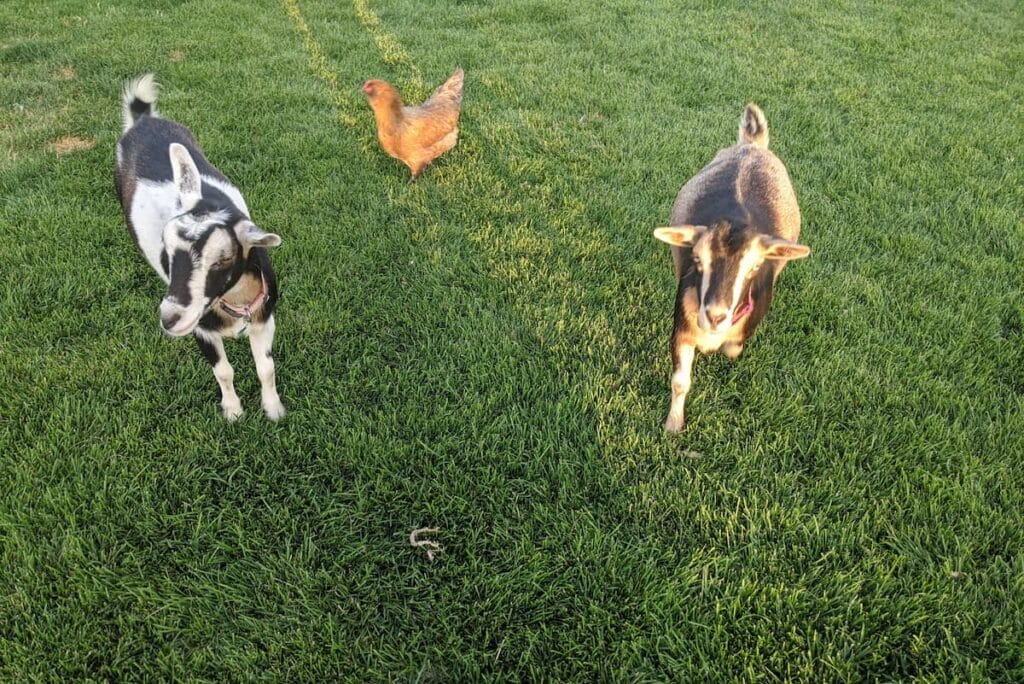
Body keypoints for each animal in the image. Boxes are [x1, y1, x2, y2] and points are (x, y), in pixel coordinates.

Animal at [114, 74, 285, 421]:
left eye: (223, 259)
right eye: (166, 248)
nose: (169, 319)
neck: (235, 302)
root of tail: (144, 120)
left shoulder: (264, 318)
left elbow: (266, 368)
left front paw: (273, 410)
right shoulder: (202, 330)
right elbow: (224, 371)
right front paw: (233, 412)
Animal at [654, 103, 810, 432]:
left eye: (755, 268)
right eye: (697, 259)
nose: (715, 315)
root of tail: (752, 145)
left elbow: (733, 348)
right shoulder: (682, 327)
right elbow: (680, 382)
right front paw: (673, 425)